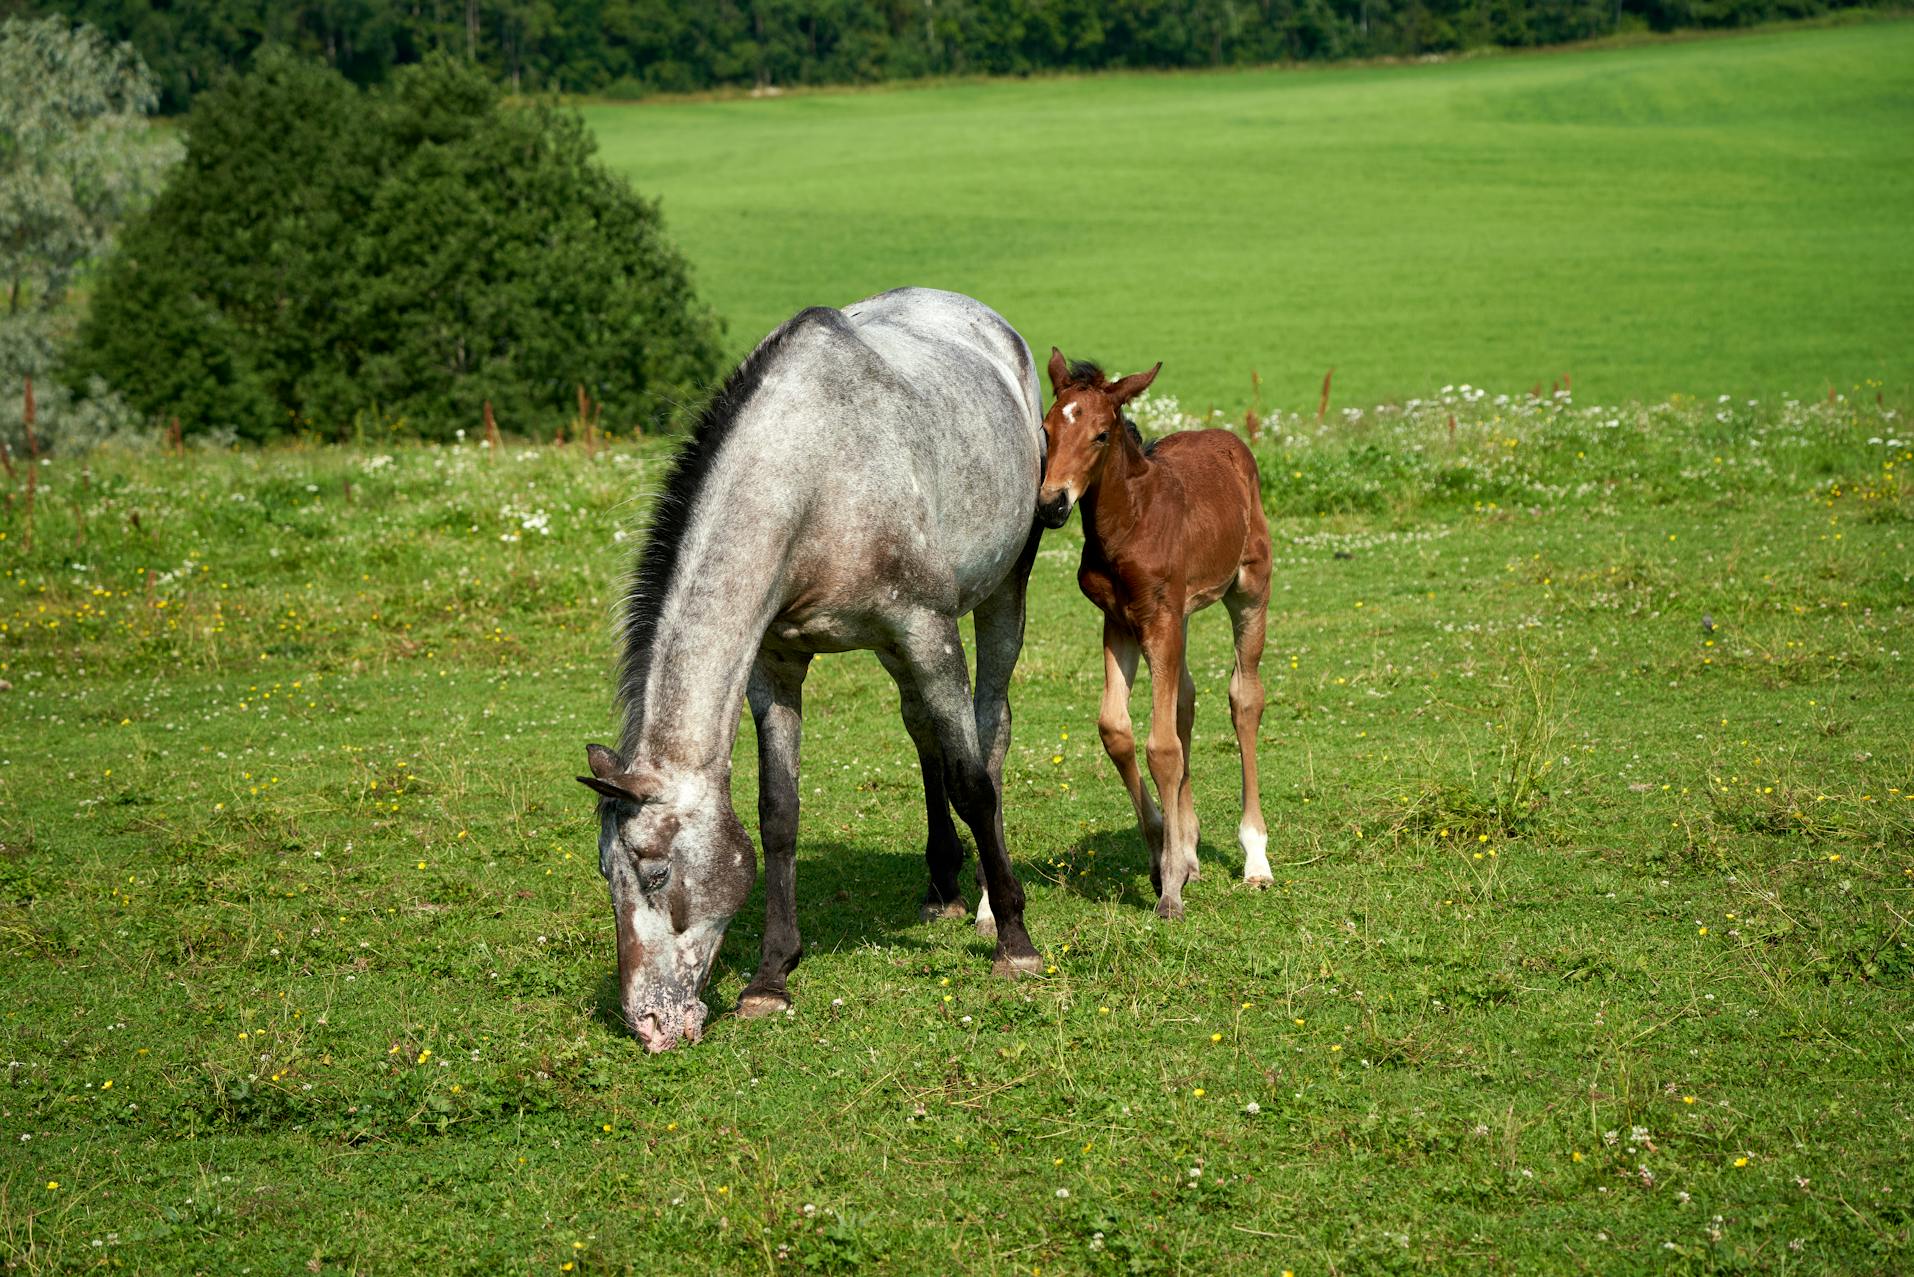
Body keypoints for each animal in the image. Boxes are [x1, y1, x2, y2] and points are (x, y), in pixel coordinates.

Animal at [577, 288, 1048, 1053]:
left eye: (656, 871)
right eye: (604, 874)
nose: (647, 1022)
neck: (812, 479)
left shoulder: (928, 631)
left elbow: (972, 783)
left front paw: (1016, 941)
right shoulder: (777, 665)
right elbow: (778, 815)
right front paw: (770, 978)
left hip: (1002, 593)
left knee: (988, 730)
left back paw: (982, 904)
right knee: (924, 733)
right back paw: (943, 888)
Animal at [1034, 349, 1274, 920]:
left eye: (1101, 434)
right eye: (1047, 428)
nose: (1052, 504)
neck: (1130, 524)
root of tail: (1228, 440)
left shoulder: (1159, 621)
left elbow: (1163, 748)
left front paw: (1169, 891)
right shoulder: (1121, 621)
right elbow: (1116, 731)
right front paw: (1167, 857)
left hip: (1251, 588)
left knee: (1244, 697)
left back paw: (1255, 858)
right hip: (1180, 616)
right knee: (1185, 698)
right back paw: (1189, 850)